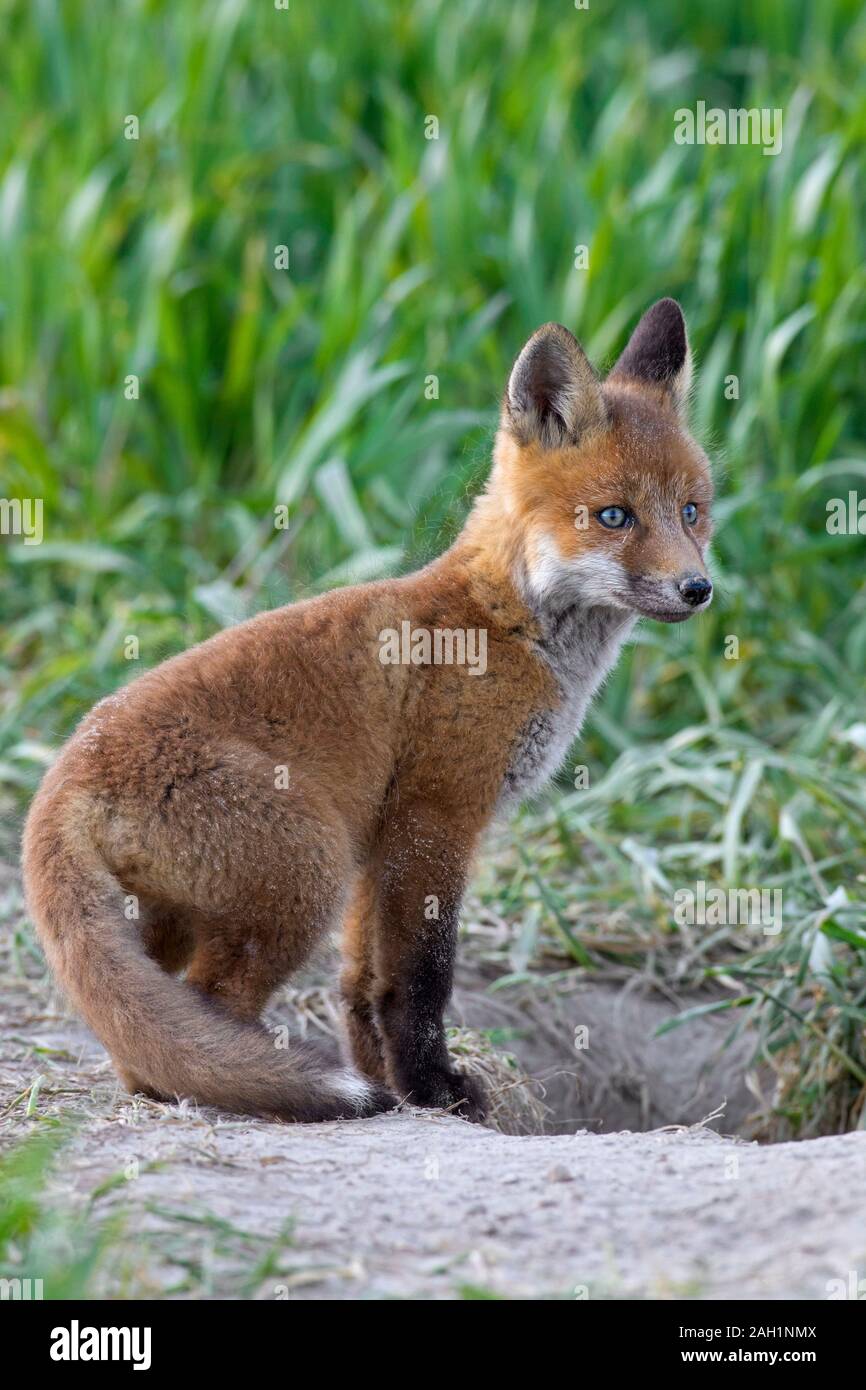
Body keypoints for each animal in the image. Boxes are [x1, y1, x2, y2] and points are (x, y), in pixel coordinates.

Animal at [22, 297, 713, 1125]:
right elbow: (417, 981)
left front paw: (391, 1083)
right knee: (205, 1008)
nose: (698, 589)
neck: (503, 624)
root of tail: (64, 773)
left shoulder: (378, 838)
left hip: (184, 913)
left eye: (692, 512)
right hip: (305, 871)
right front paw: (434, 1090)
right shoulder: (435, 816)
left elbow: (359, 984)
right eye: (614, 517)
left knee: (142, 1031)